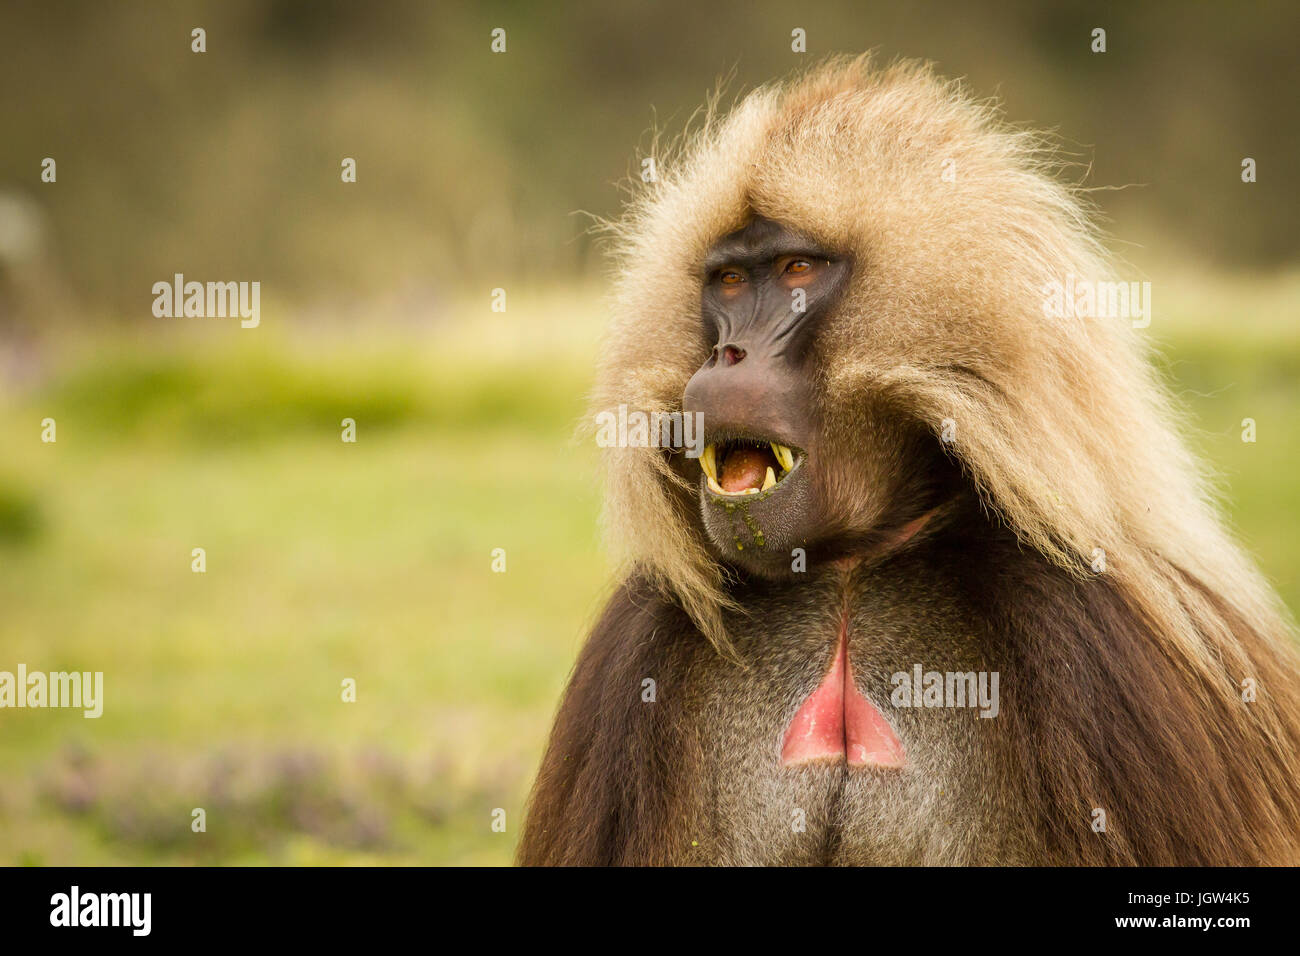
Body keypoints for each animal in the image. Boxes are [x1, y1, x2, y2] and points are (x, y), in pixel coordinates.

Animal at [517, 56, 1300, 866]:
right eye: (728, 282)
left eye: (797, 270)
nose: (726, 355)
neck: (849, 570)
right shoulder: (636, 644)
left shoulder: (1099, 640)